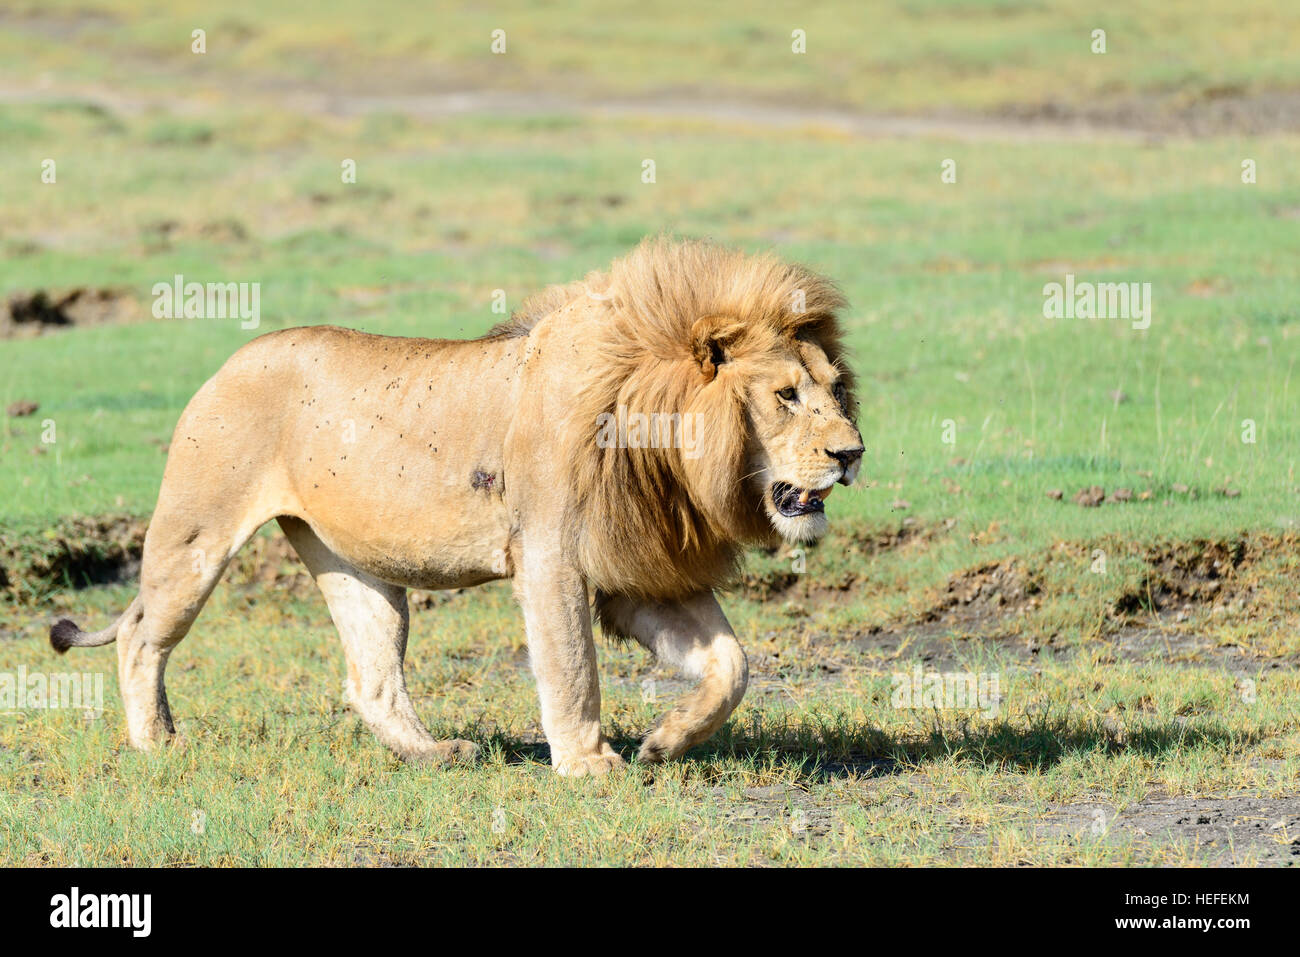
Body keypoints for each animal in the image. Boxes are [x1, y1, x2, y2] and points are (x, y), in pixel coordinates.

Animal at [50, 238, 864, 776]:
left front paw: (667, 740)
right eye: (786, 396)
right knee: (141, 636)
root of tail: (225, 363)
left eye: (834, 389)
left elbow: (733, 663)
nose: (852, 453)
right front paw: (589, 763)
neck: (661, 445)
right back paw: (156, 743)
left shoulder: (642, 574)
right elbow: (573, 668)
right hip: (196, 534)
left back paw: (436, 753)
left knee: (372, 679)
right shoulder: (552, 558)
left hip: (355, 566)